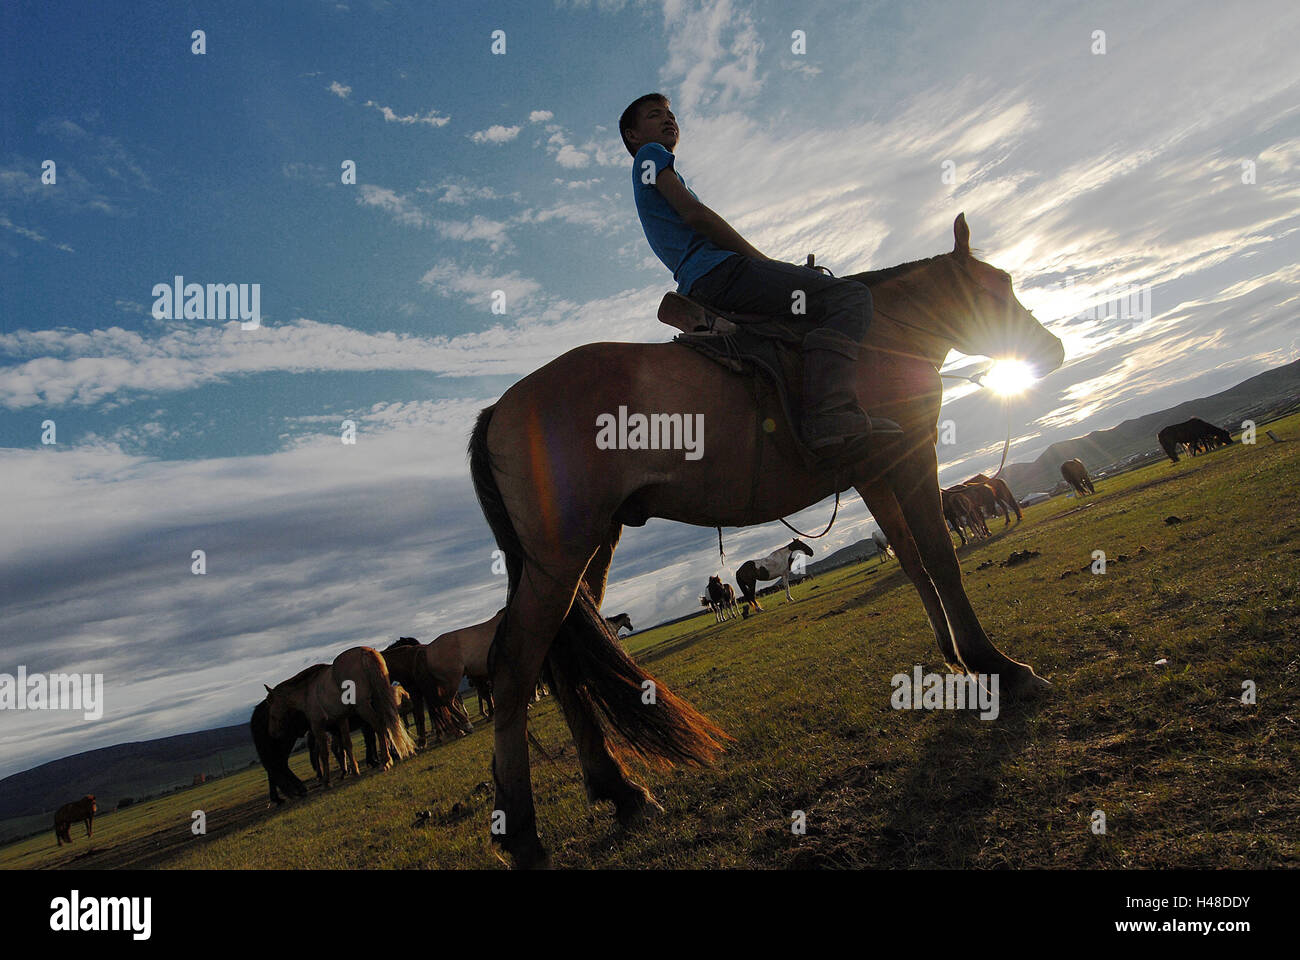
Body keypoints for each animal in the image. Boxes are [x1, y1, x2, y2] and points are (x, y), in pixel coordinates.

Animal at [264, 647, 414, 788]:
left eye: (271, 713)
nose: (272, 733)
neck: (307, 692)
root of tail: (365, 652)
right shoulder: (341, 720)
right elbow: (347, 745)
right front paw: (355, 771)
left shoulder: (318, 726)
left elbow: (324, 753)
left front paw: (327, 781)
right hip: (379, 698)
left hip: (363, 707)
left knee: (379, 726)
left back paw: (386, 761)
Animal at [468, 213, 1063, 867]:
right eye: (994, 288)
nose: (1053, 350)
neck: (884, 335)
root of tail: (500, 409)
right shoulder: (908, 454)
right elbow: (940, 557)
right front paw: (997, 668)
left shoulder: (873, 471)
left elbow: (912, 561)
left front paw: (954, 658)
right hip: (562, 555)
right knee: (515, 667)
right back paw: (523, 834)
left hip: (586, 550)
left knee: (558, 661)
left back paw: (622, 793)